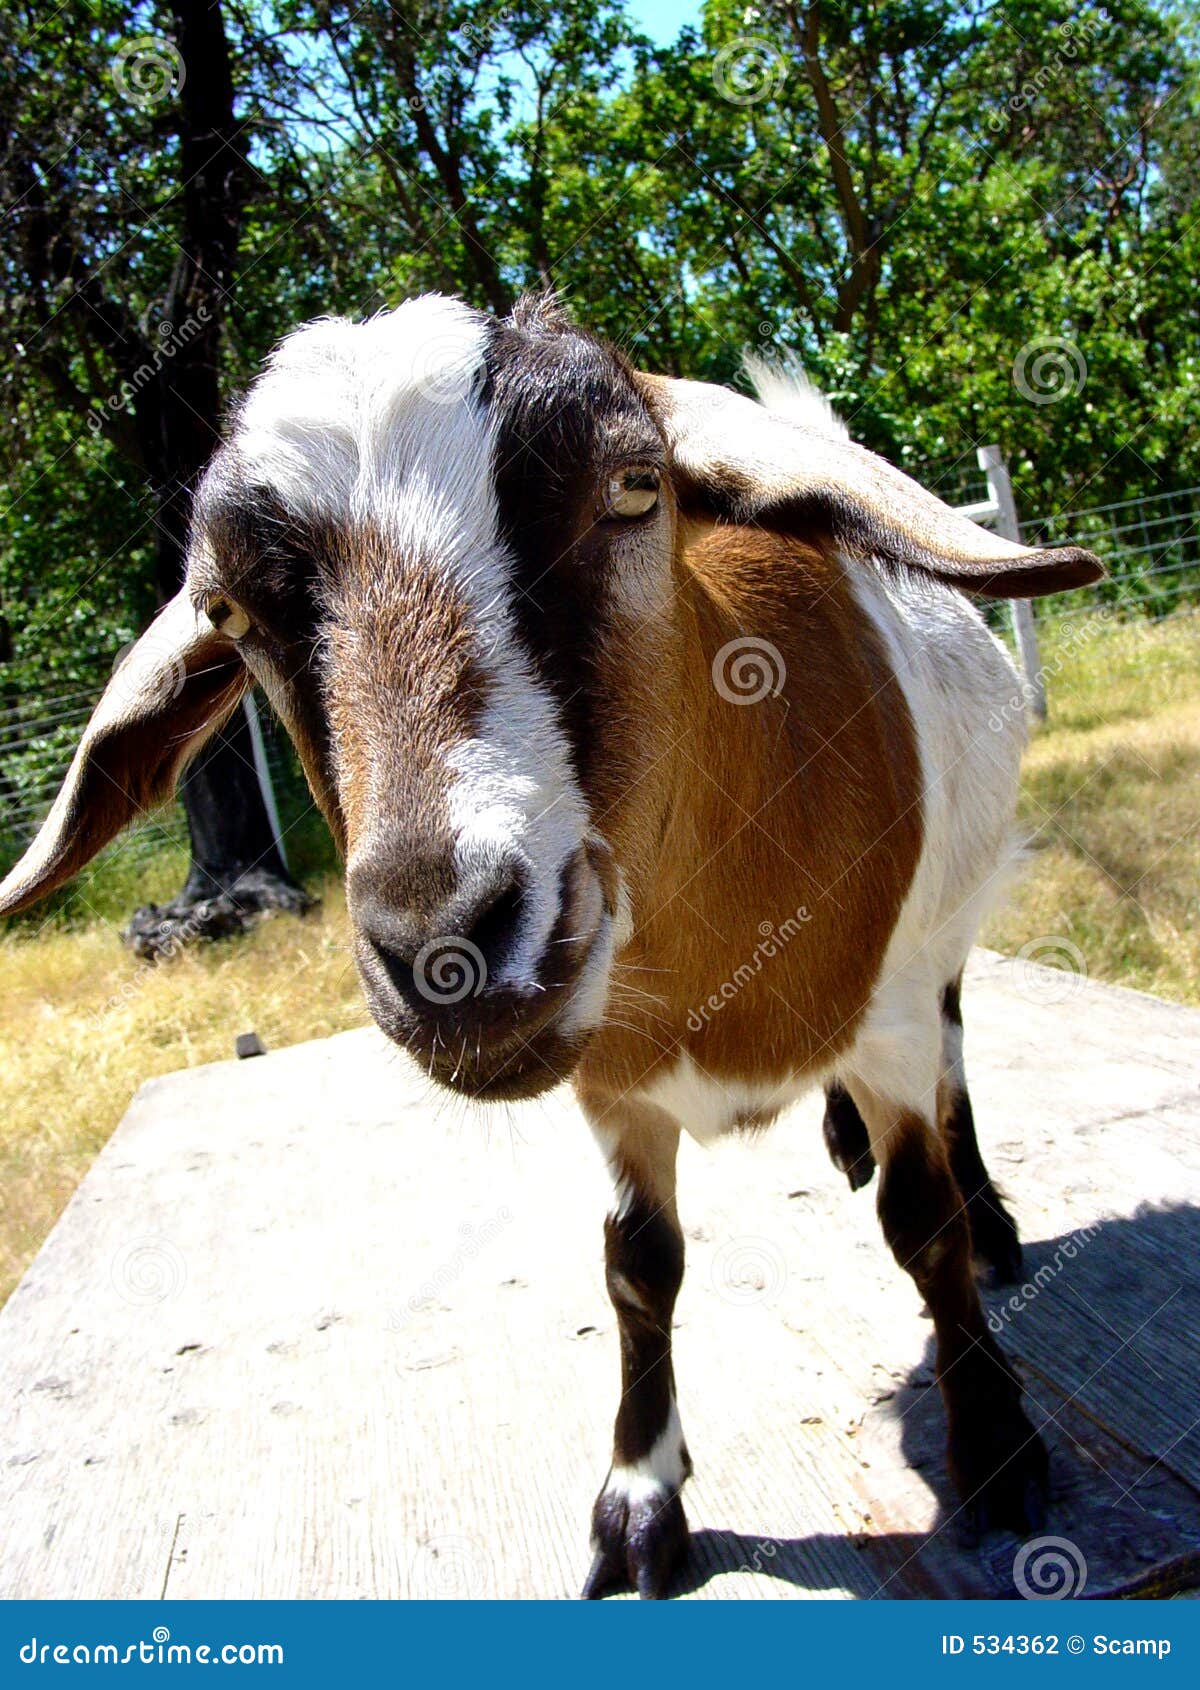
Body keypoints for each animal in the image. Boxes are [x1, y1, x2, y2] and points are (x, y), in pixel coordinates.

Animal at [0, 294, 1103, 1598]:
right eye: (229, 612)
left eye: (634, 486)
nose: (450, 950)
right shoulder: (612, 1086)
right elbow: (639, 1265)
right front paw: (639, 1498)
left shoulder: (883, 1017)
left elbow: (920, 1227)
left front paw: (995, 1445)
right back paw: (841, 1138)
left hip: (939, 941)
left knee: (954, 1043)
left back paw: (988, 1216)